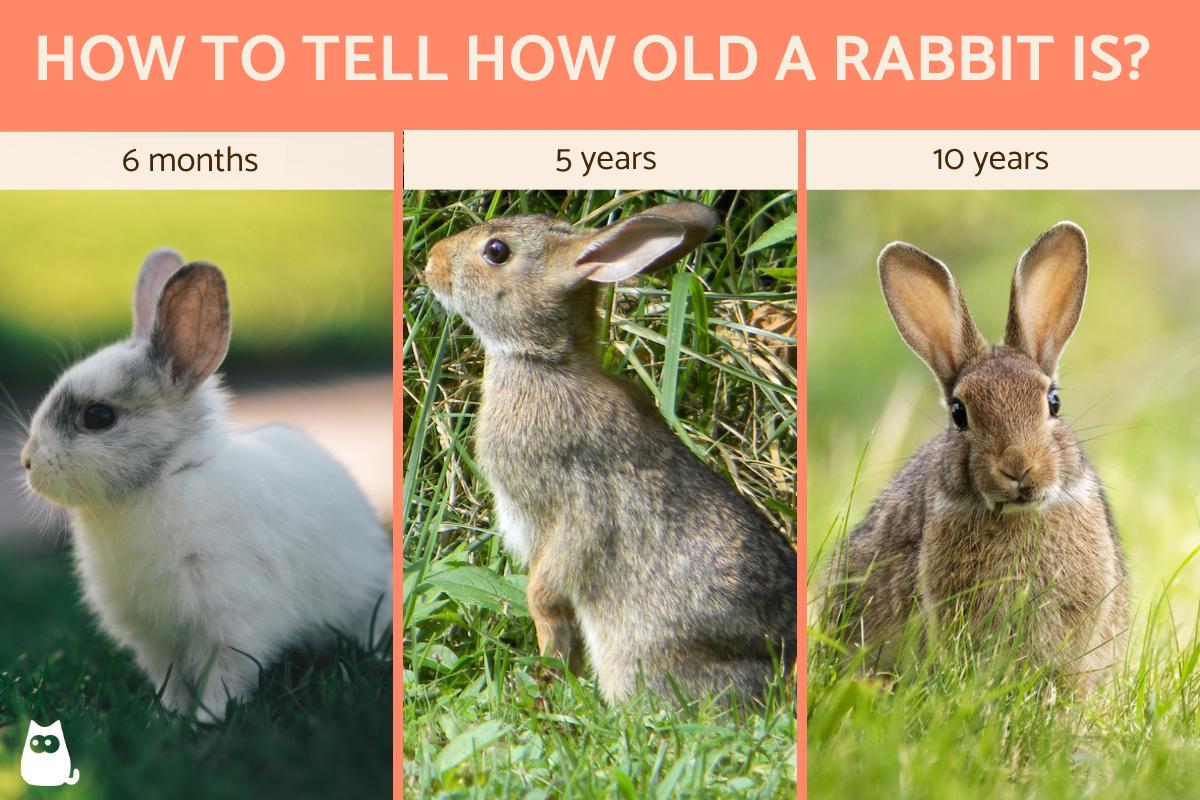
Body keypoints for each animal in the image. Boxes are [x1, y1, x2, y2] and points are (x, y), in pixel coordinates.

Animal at [20, 249, 393, 722]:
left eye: (98, 417)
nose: (27, 462)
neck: (166, 477)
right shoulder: (155, 639)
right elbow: (170, 679)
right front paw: (169, 717)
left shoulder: (232, 624)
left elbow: (224, 678)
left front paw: (208, 720)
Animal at [422, 200, 797, 704]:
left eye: (497, 251)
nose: (431, 263)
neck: (545, 363)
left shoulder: (576, 508)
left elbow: (547, 595)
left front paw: (549, 677)